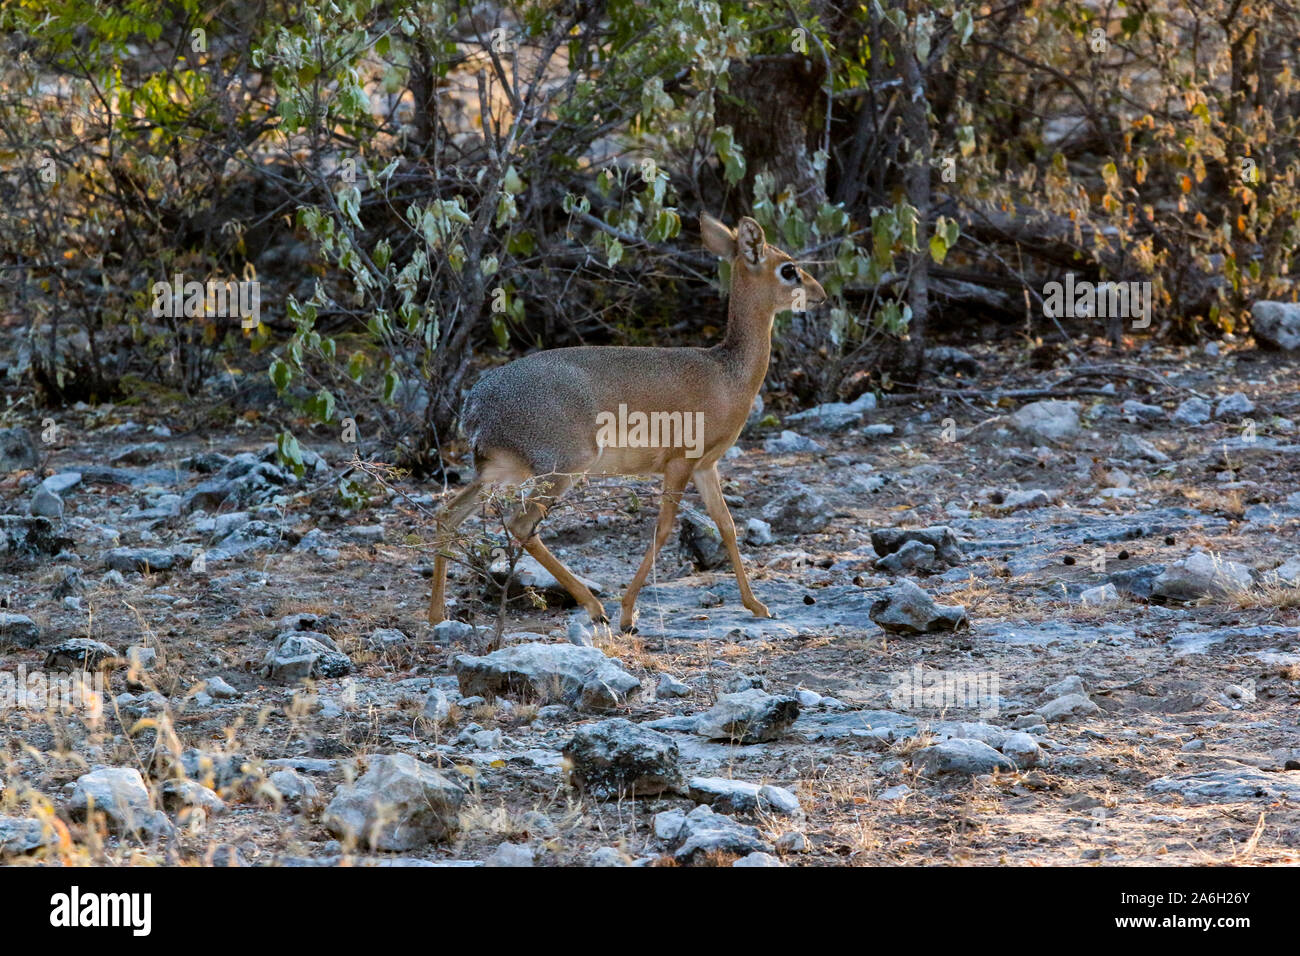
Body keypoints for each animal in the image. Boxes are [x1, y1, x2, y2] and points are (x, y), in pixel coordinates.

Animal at [428, 214, 826, 633]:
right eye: (789, 269)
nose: (820, 294)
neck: (727, 372)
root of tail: (474, 405)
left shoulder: (707, 466)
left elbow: (727, 525)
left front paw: (756, 604)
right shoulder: (680, 463)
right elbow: (663, 529)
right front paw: (627, 611)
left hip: (500, 472)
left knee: (447, 514)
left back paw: (437, 615)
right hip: (562, 468)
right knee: (520, 526)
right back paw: (594, 607)